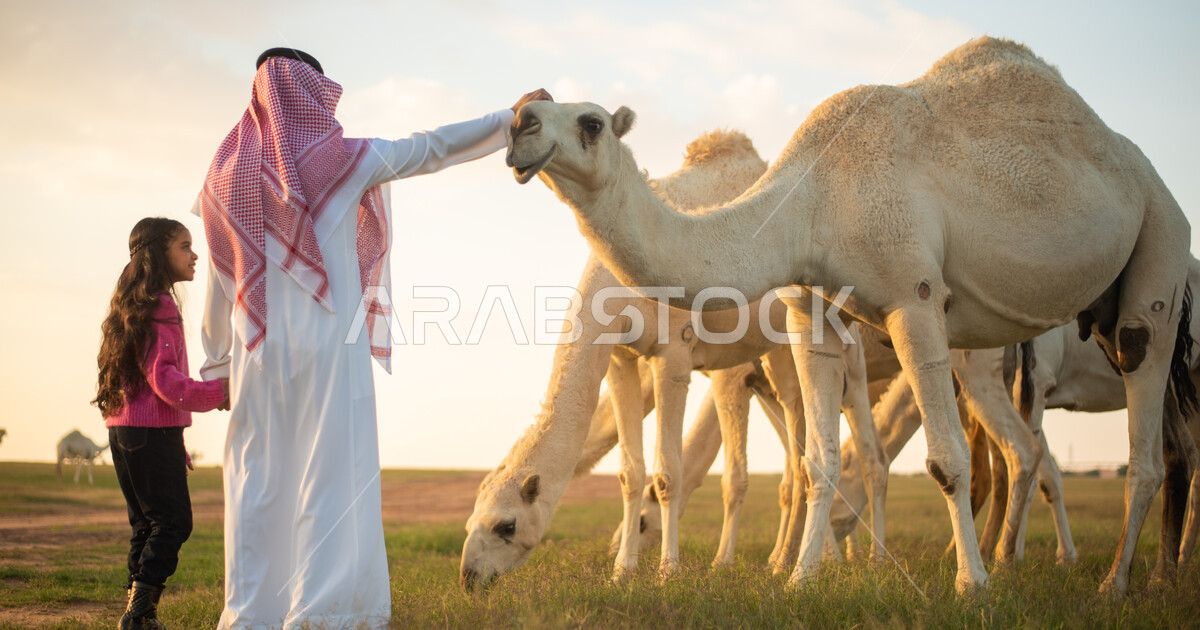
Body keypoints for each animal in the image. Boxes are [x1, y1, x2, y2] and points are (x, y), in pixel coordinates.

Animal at [460, 131, 891, 589]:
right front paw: (622, 570)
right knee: (797, 445)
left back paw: (870, 560)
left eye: (506, 525)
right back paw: (783, 562)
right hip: (779, 355)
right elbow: (630, 474)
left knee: (864, 448)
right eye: (469, 524)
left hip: (836, 335)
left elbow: (668, 474)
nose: (468, 577)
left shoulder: (674, 355)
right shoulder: (620, 358)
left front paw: (669, 570)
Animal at [506, 37, 1195, 596]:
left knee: (1138, 418)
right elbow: (817, 464)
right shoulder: (810, 313)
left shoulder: (915, 295)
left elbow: (946, 459)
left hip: (1159, 237)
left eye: (591, 120)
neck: (811, 197)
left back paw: (1109, 582)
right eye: (529, 108)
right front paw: (801, 579)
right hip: (1092, 314)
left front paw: (970, 586)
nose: (519, 122)